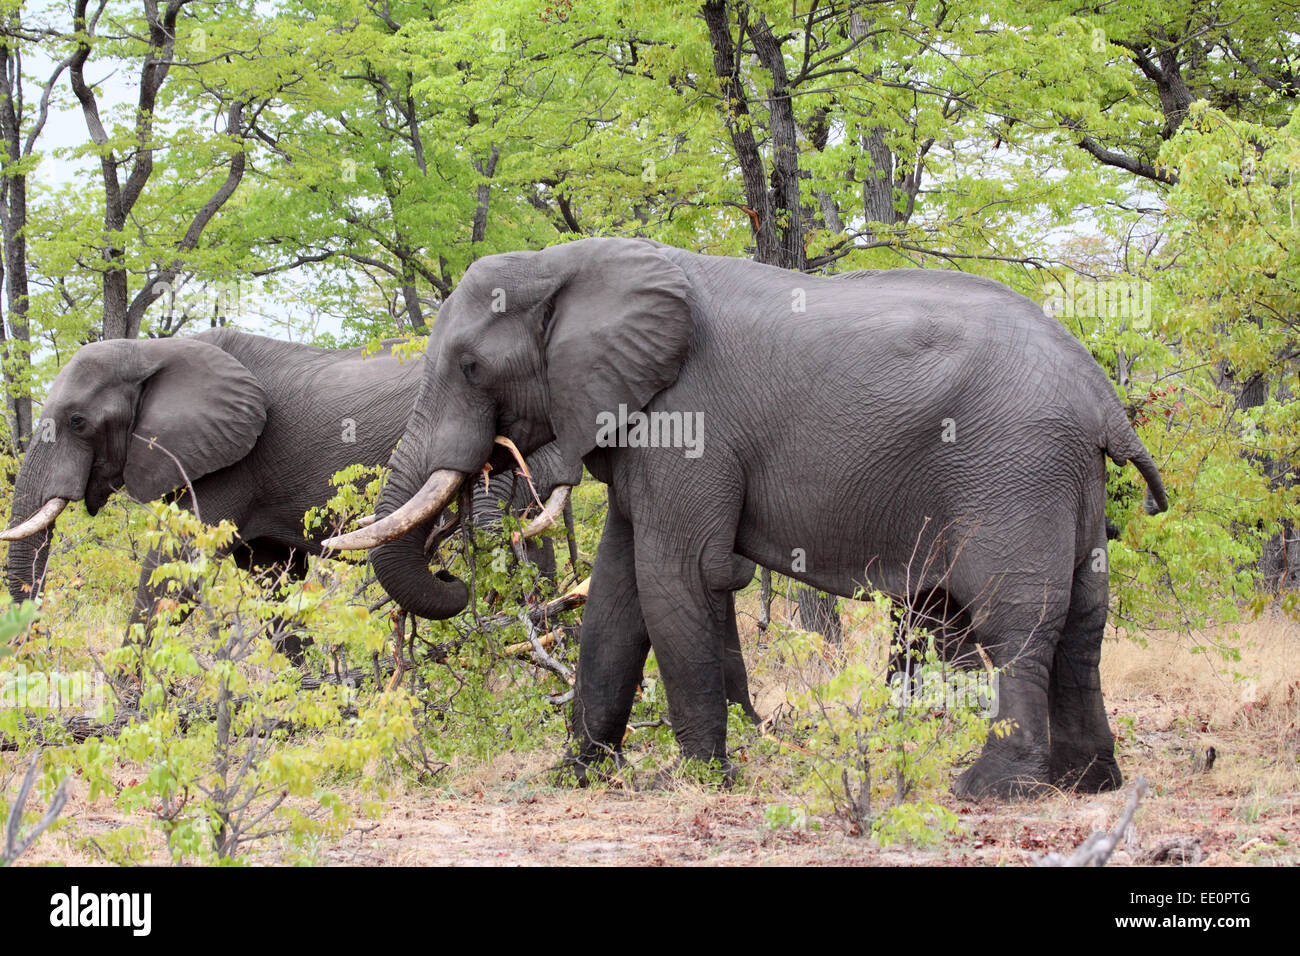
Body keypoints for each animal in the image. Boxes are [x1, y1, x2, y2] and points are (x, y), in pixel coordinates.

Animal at [324, 237, 1168, 799]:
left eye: (470, 366)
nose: (450, 571)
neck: (571, 261)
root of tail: (1102, 396)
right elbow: (617, 591)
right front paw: (574, 777)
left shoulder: (689, 420)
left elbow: (676, 574)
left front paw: (705, 780)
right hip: (1063, 473)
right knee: (1084, 617)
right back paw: (1090, 783)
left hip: (1015, 466)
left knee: (1013, 616)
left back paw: (989, 789)